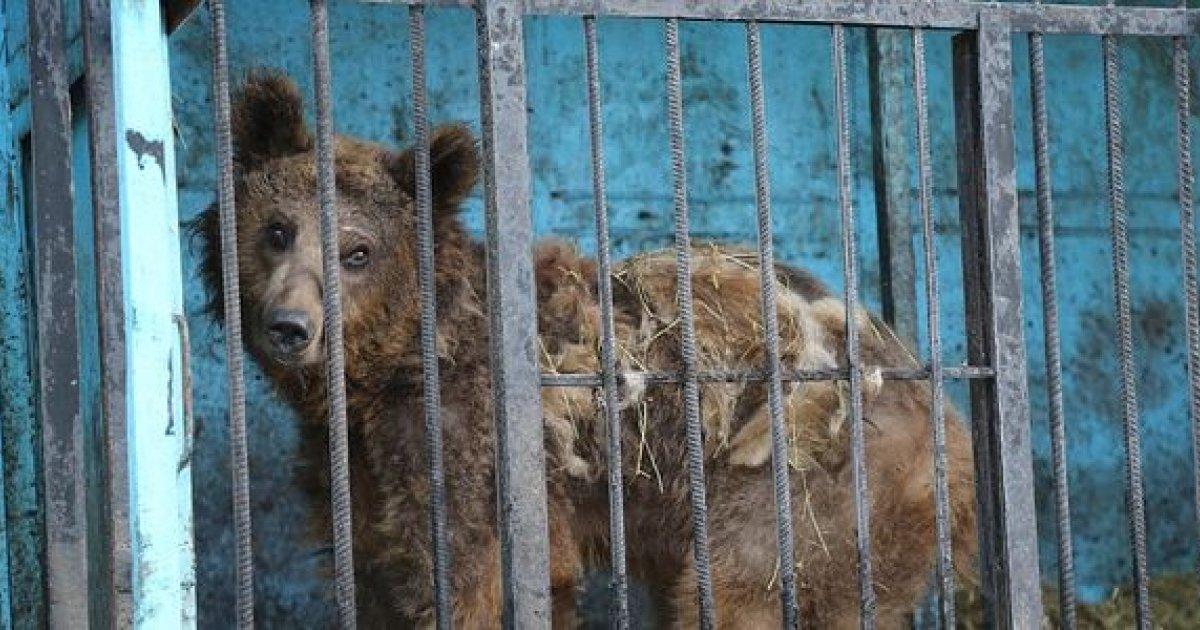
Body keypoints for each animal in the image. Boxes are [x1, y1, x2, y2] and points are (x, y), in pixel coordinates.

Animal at [194, 69, 977, 629]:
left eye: (357, 251)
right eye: (276, 230)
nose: (291, 326)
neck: (388, 372)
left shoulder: (464, 454)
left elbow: (466, 587)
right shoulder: (365, 477)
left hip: (800, 494)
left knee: (737, 592)